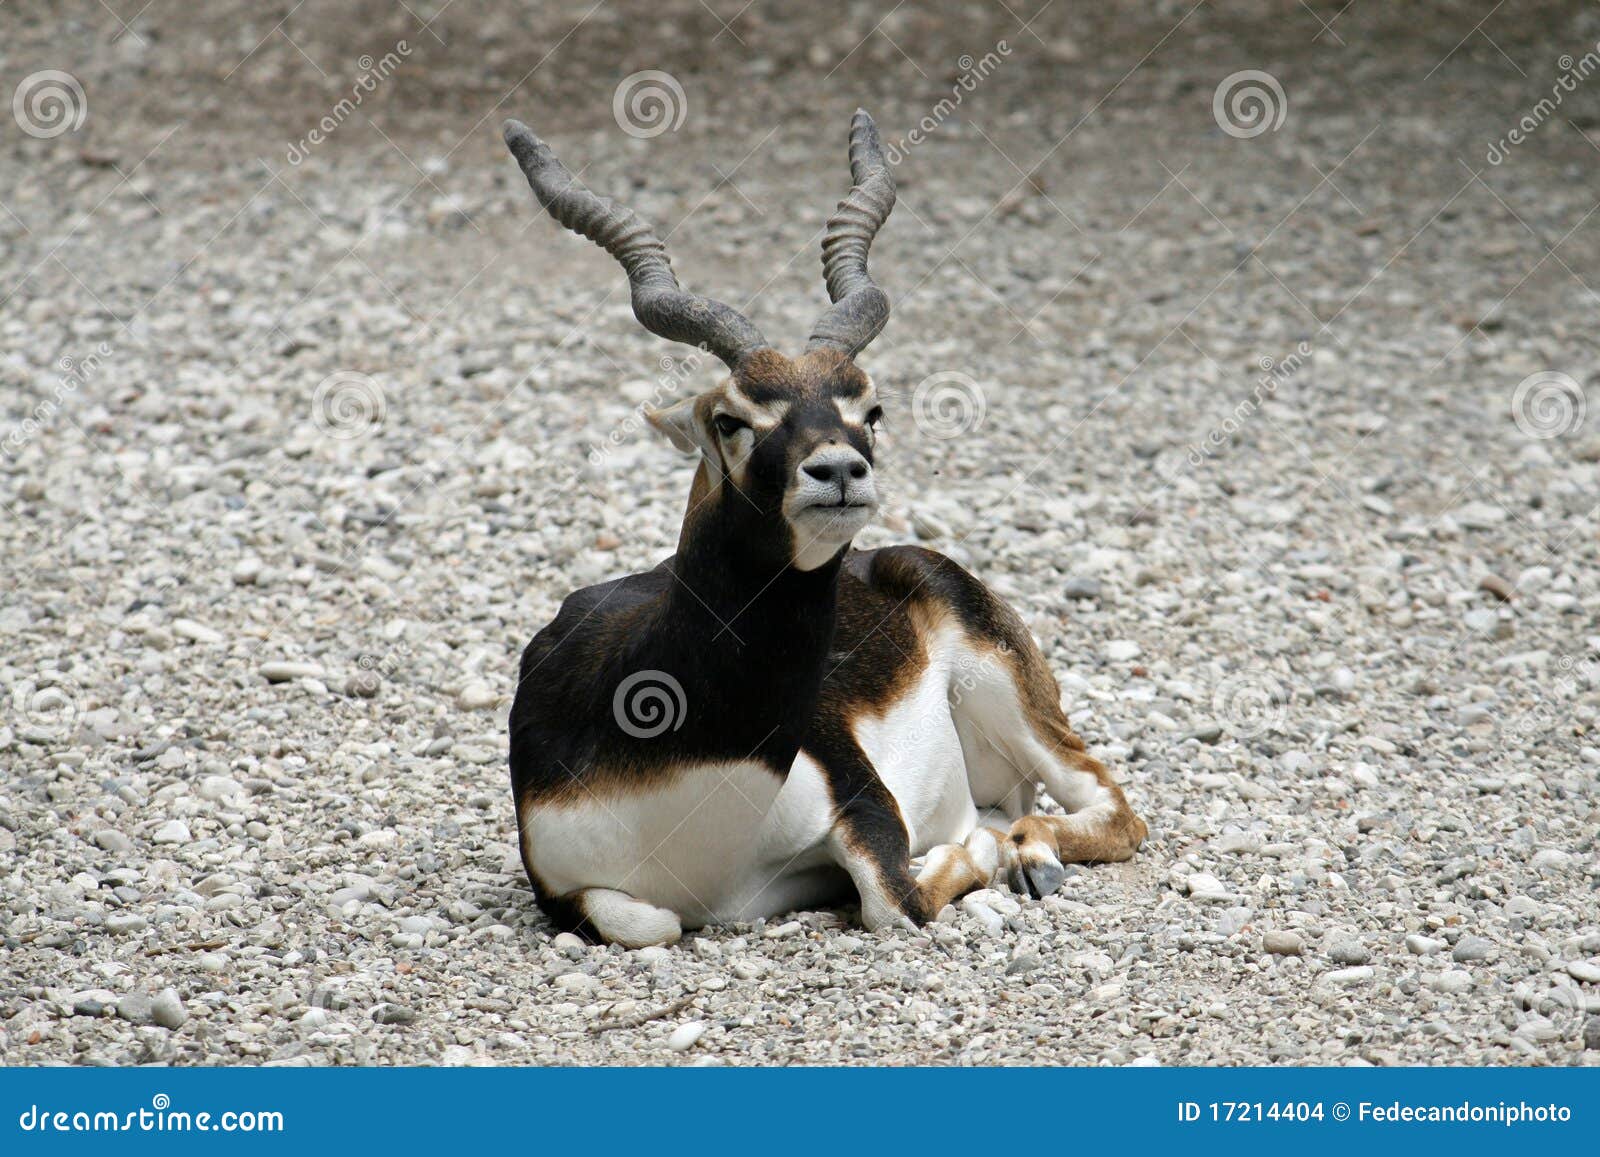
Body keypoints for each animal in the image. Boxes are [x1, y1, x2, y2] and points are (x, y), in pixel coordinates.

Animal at [504, 110, 1147, 947]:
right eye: (729, 419)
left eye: (868, 408)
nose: (839, 469)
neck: (687, 760)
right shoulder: (564, 881)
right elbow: (648, 920)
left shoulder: (864, 801)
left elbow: (897, 894)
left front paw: (981, 847)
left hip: (1008, 688)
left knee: (1111, 806)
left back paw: (1029, 850)